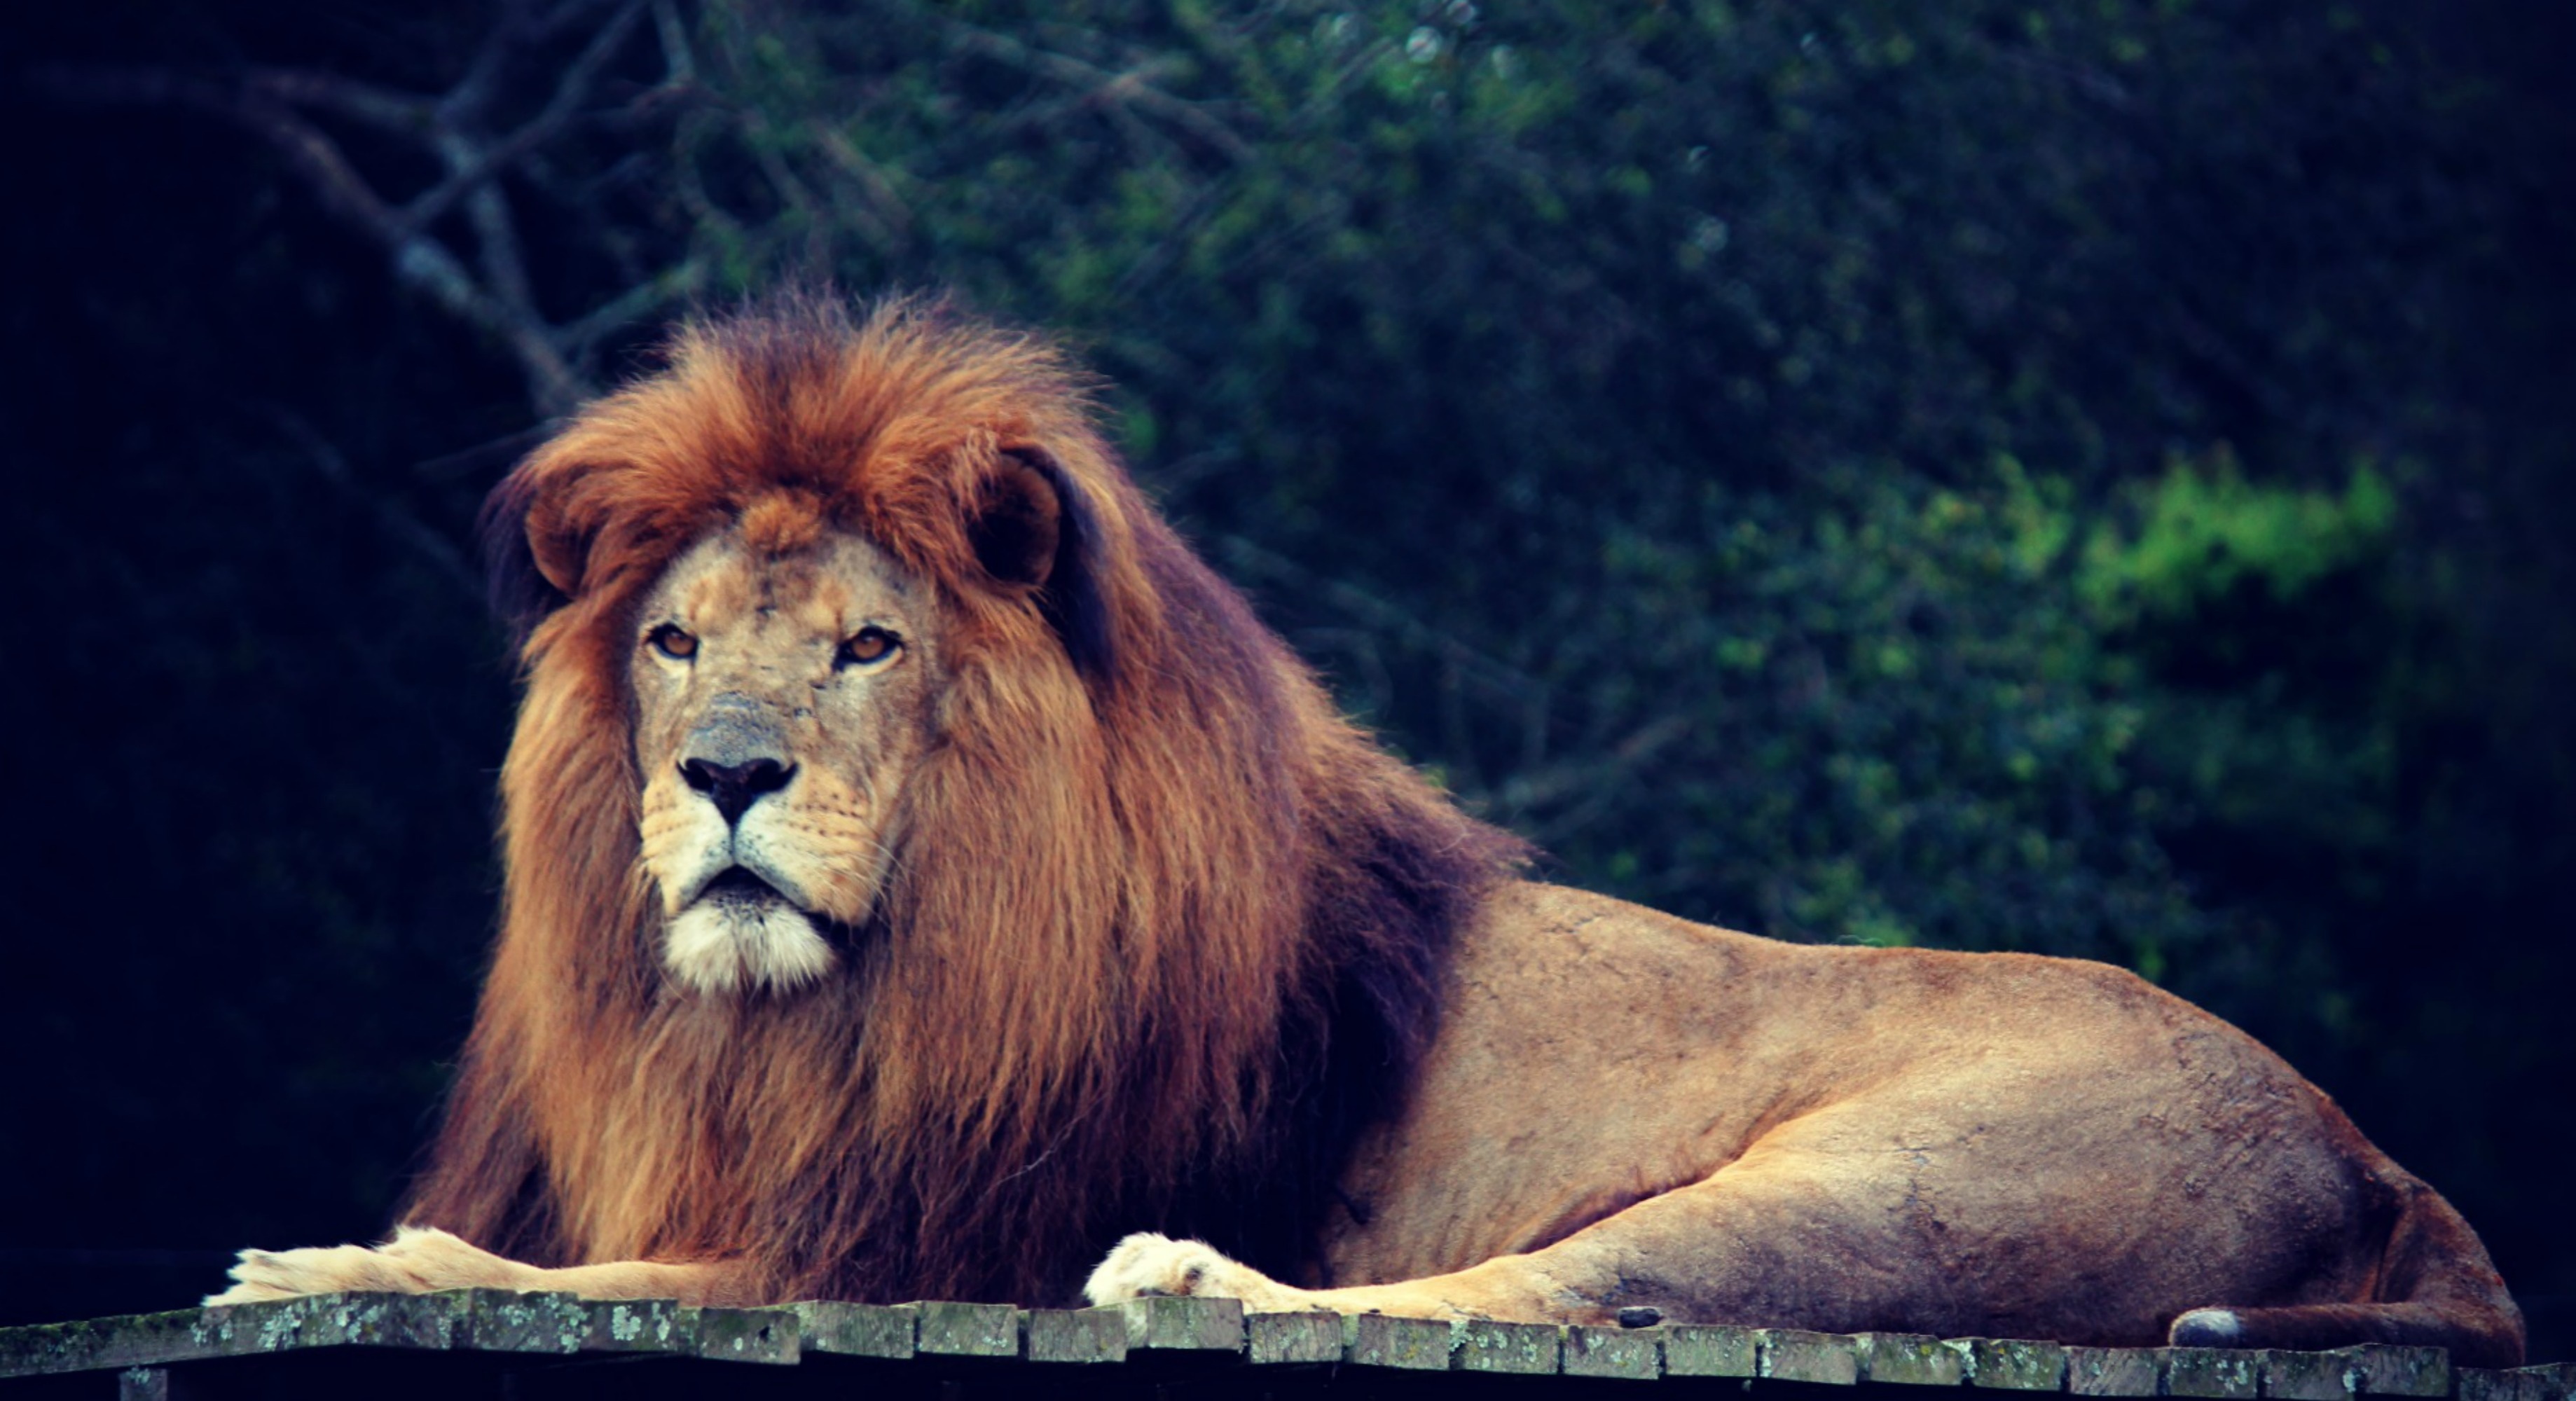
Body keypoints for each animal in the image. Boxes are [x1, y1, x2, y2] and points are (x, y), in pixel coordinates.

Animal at [210, 296, 2524, 1368]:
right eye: (675, 643)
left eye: (867, 643)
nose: (726, 776)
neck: (814, 1015)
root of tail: (2371, 1153)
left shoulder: (915, 1235)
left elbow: (557, 1259)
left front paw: (318, 1255)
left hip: (1888, 1178)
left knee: (1537, 1296)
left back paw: (1181, 1273)